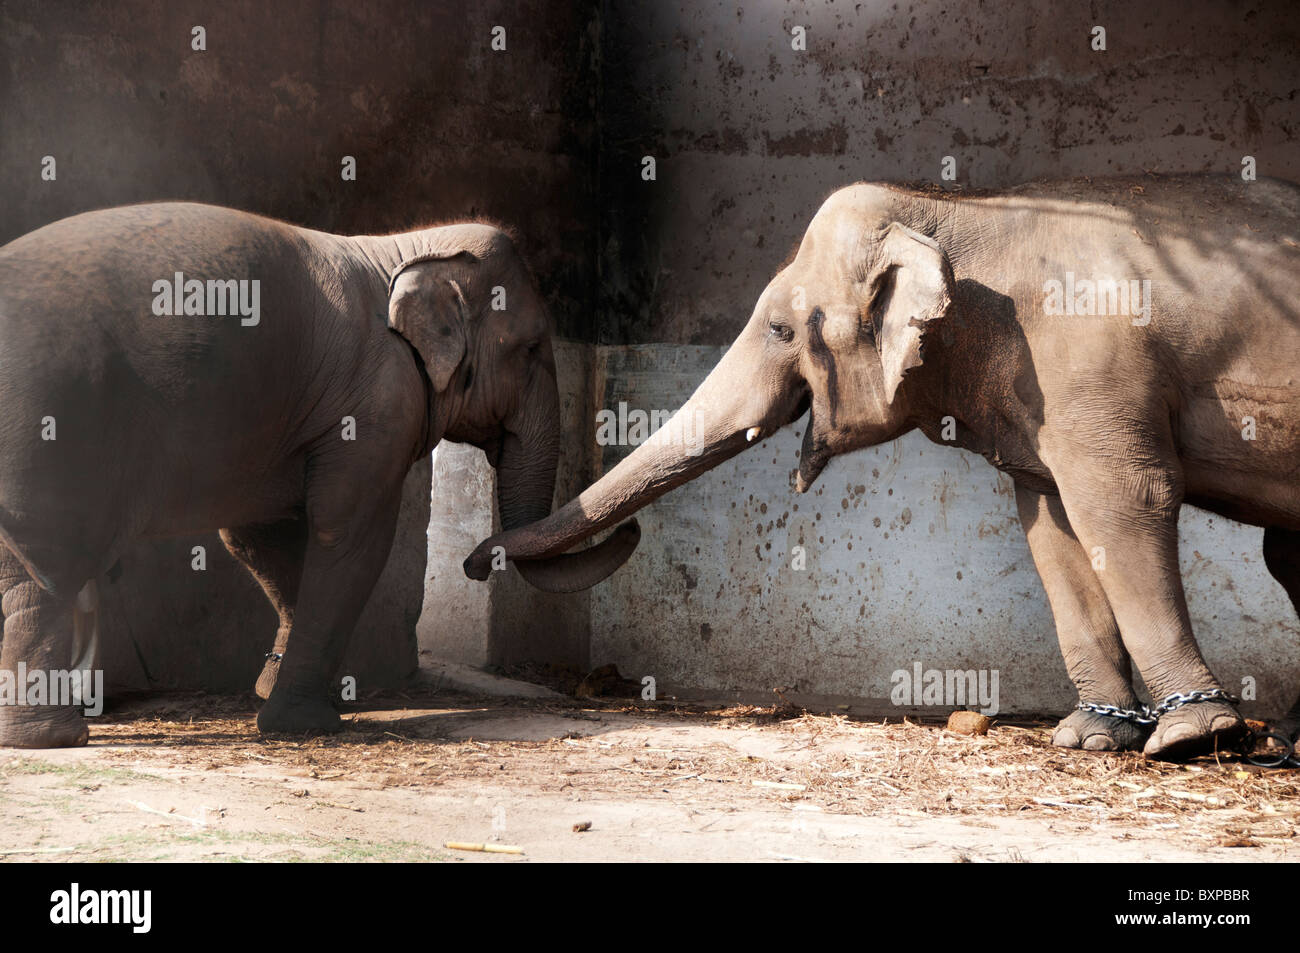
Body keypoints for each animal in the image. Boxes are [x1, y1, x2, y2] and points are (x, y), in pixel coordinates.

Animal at [0, 202, 636, 748]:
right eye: (530, 348)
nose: (473, 565)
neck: (405, 249)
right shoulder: (378, 406)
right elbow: (349, 535)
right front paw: (305, 723)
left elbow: (259, 539)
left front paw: (276, 691)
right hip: (53, 426)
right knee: (53, 564)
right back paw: (54, 736)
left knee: (25, 569)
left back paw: (37, 734)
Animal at [467, 173, 1300, 761]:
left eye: (781, 329)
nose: (475, 562)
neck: (953, 208)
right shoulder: (1038, 396)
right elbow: (1052, 526)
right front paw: (1090, 737)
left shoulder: (1094, 367)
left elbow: (1125, 501)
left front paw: (1192, 736)